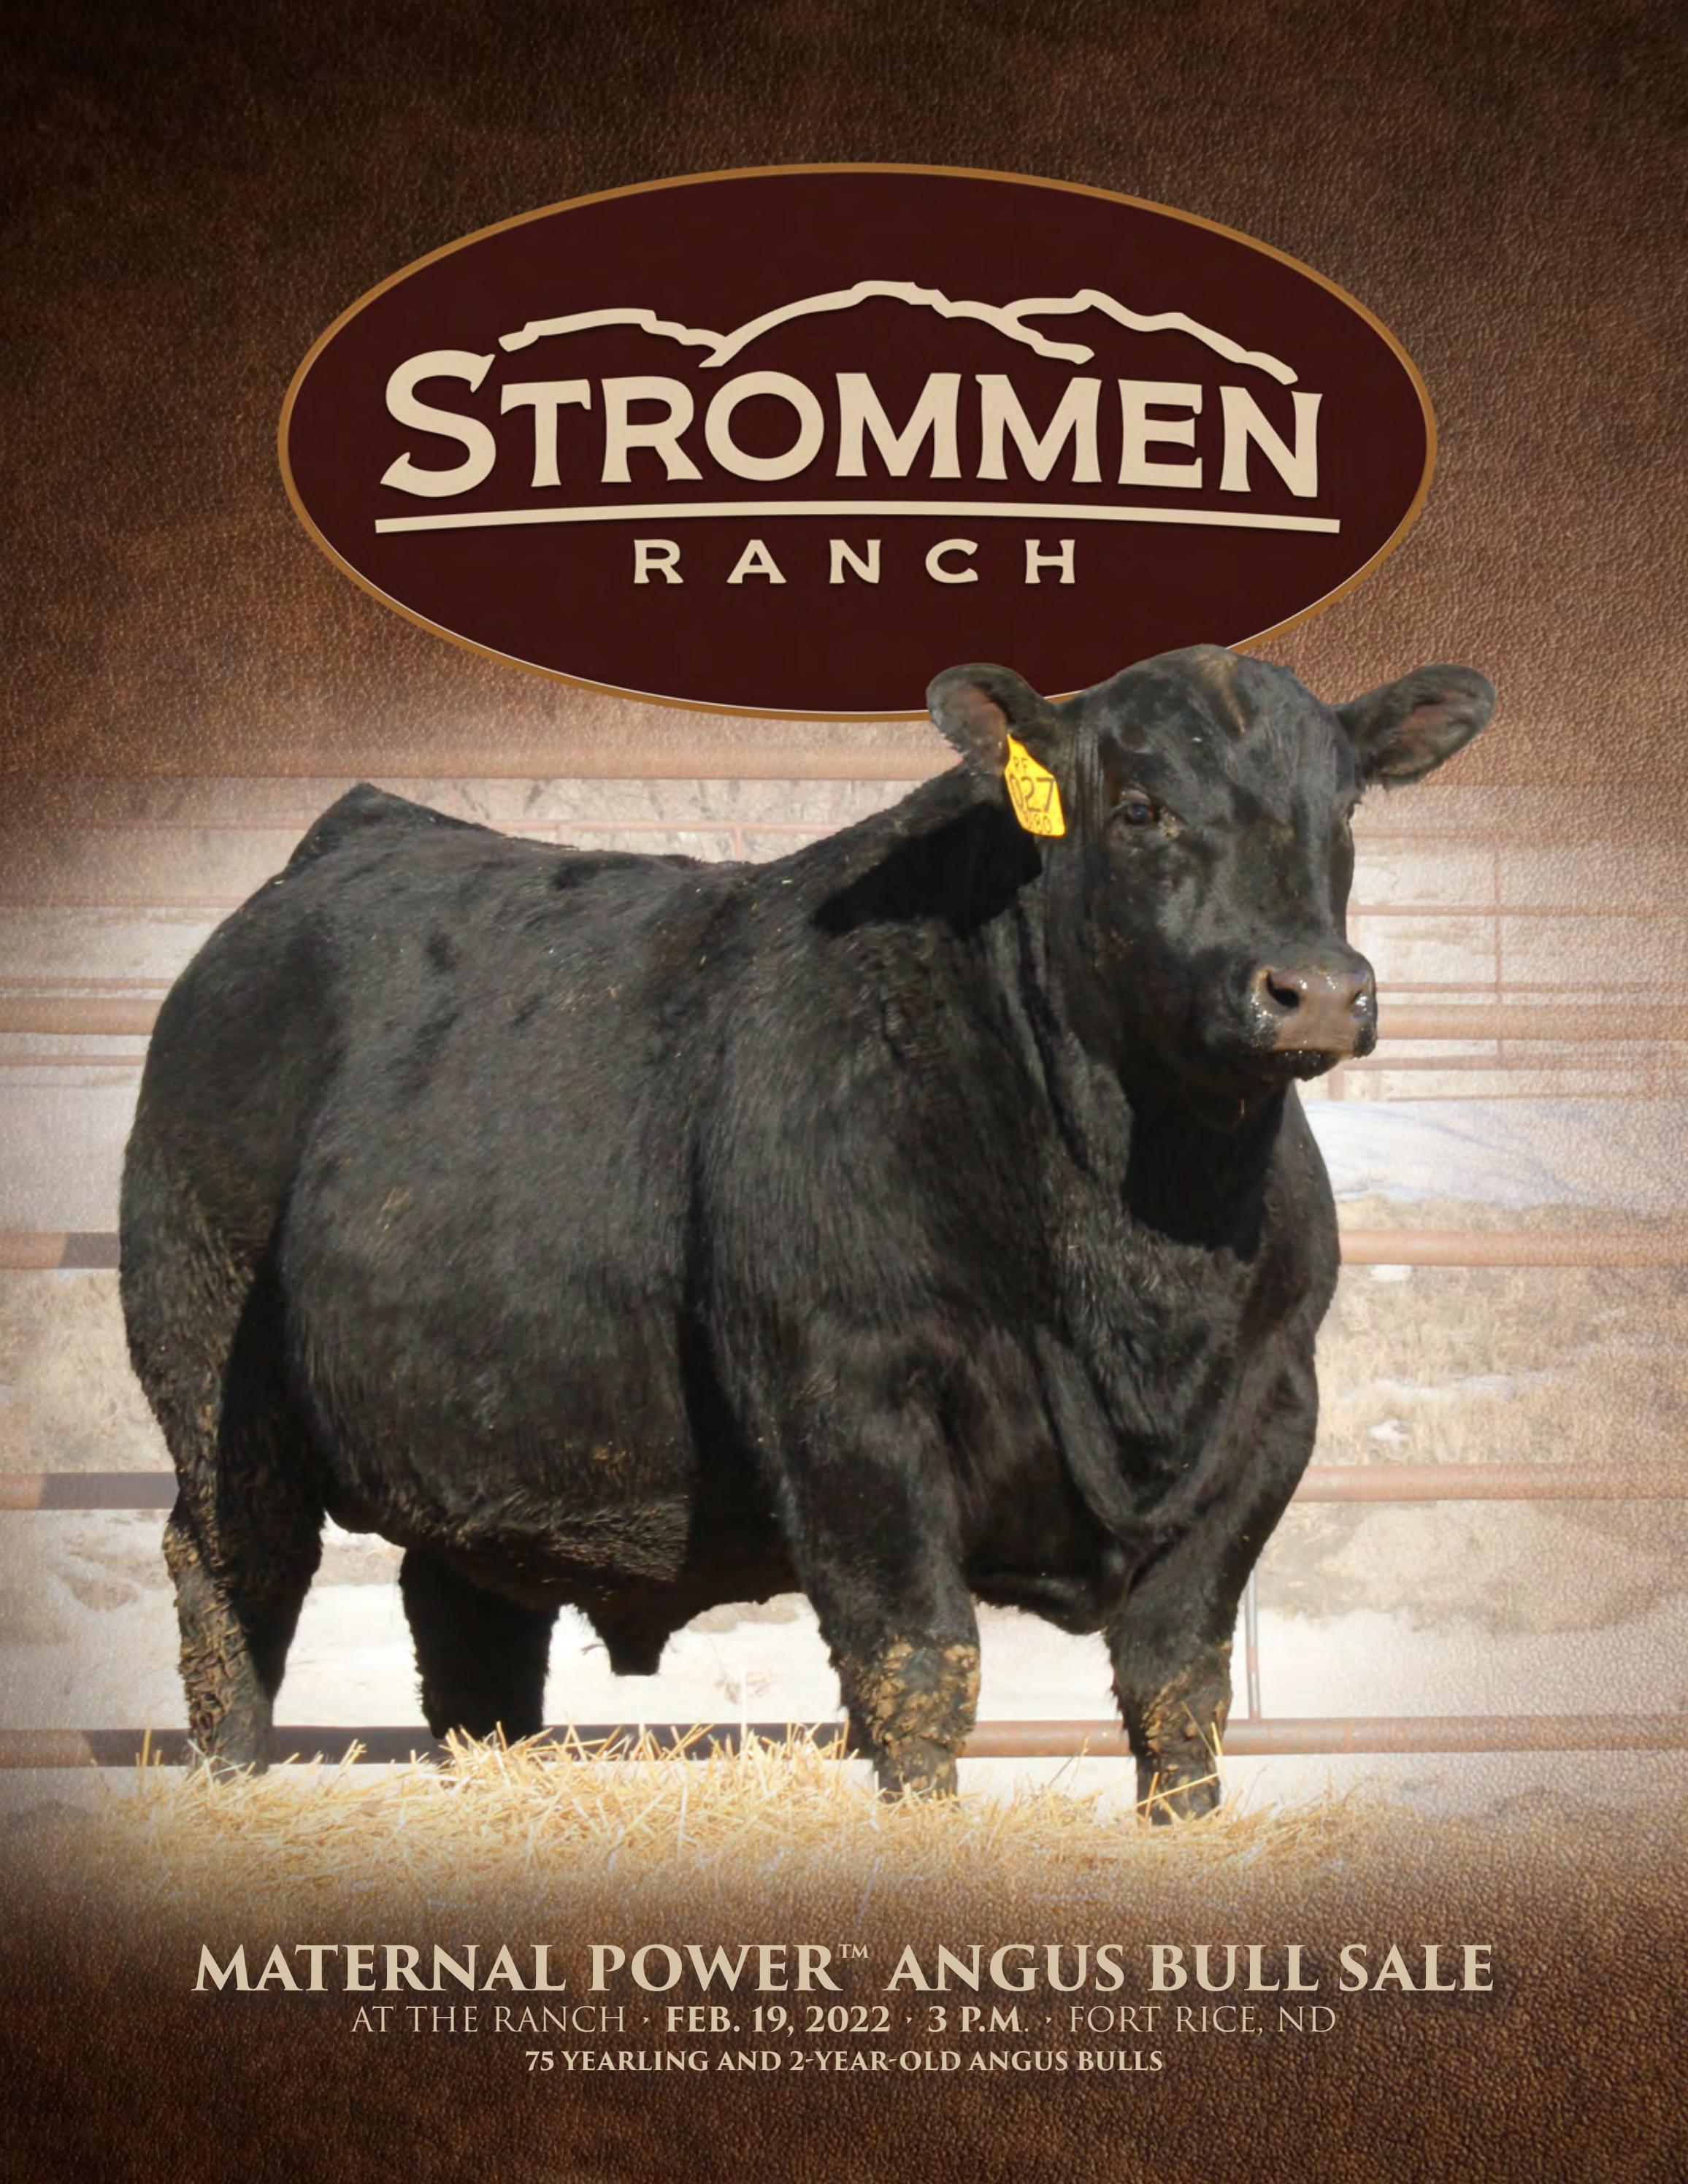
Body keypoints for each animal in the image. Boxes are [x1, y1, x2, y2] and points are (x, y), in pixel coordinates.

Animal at [119, 645, 1493, 1817]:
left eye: (1347, 809)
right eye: (1142, 809)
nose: (1315, 991)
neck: (1146, 1254)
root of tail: (357, 830)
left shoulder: (1271, 1413)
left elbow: (1178, 1688)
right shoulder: (843, 1392)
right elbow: (921, 1669)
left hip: (482, 1424)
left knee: (466, 1627)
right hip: (211, 1362)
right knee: (233, 1575)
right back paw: (231, 1789)